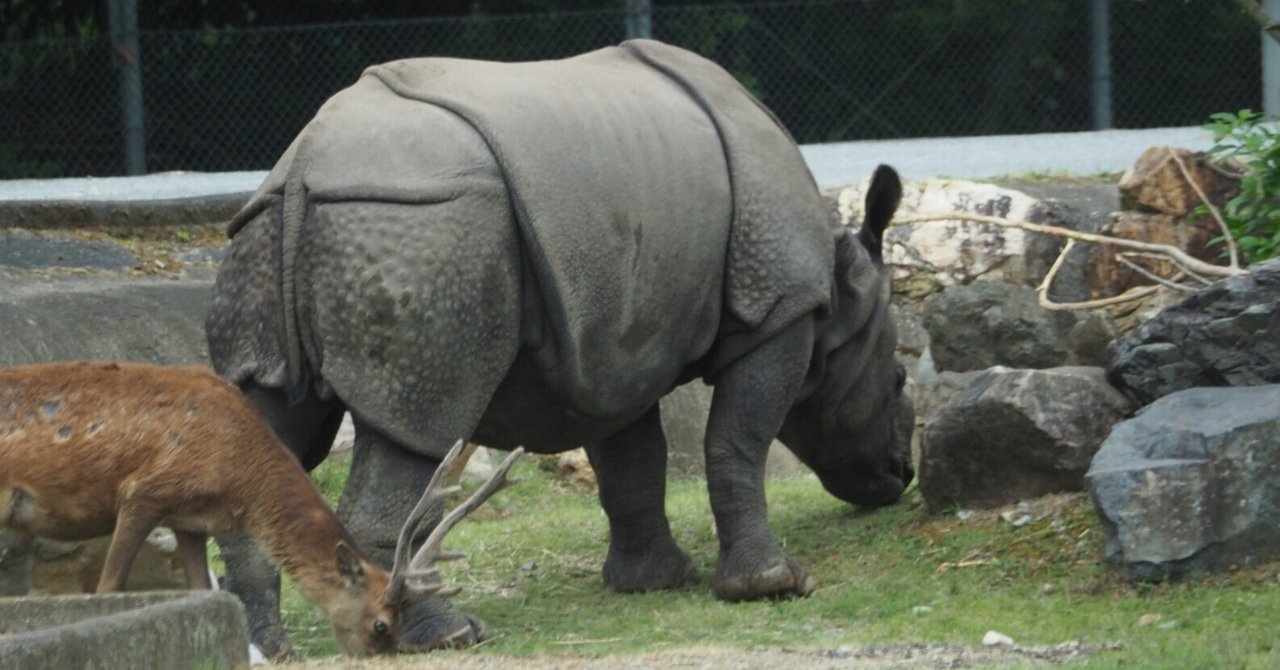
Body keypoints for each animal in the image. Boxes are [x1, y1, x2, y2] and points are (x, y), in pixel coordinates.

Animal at [206, 38, 913, 657]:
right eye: (902, 380)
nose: (900, 475)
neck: (838, 286)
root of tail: (304, 167)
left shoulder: (614, 344)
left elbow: (632, 457)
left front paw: (655, 581)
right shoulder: (779, 308)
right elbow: (739, 437)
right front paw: (773, 585)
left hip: (273, 234)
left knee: (269, 421)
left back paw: (267, 644)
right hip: (426, 227)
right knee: (419, 428)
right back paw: (449, 637)